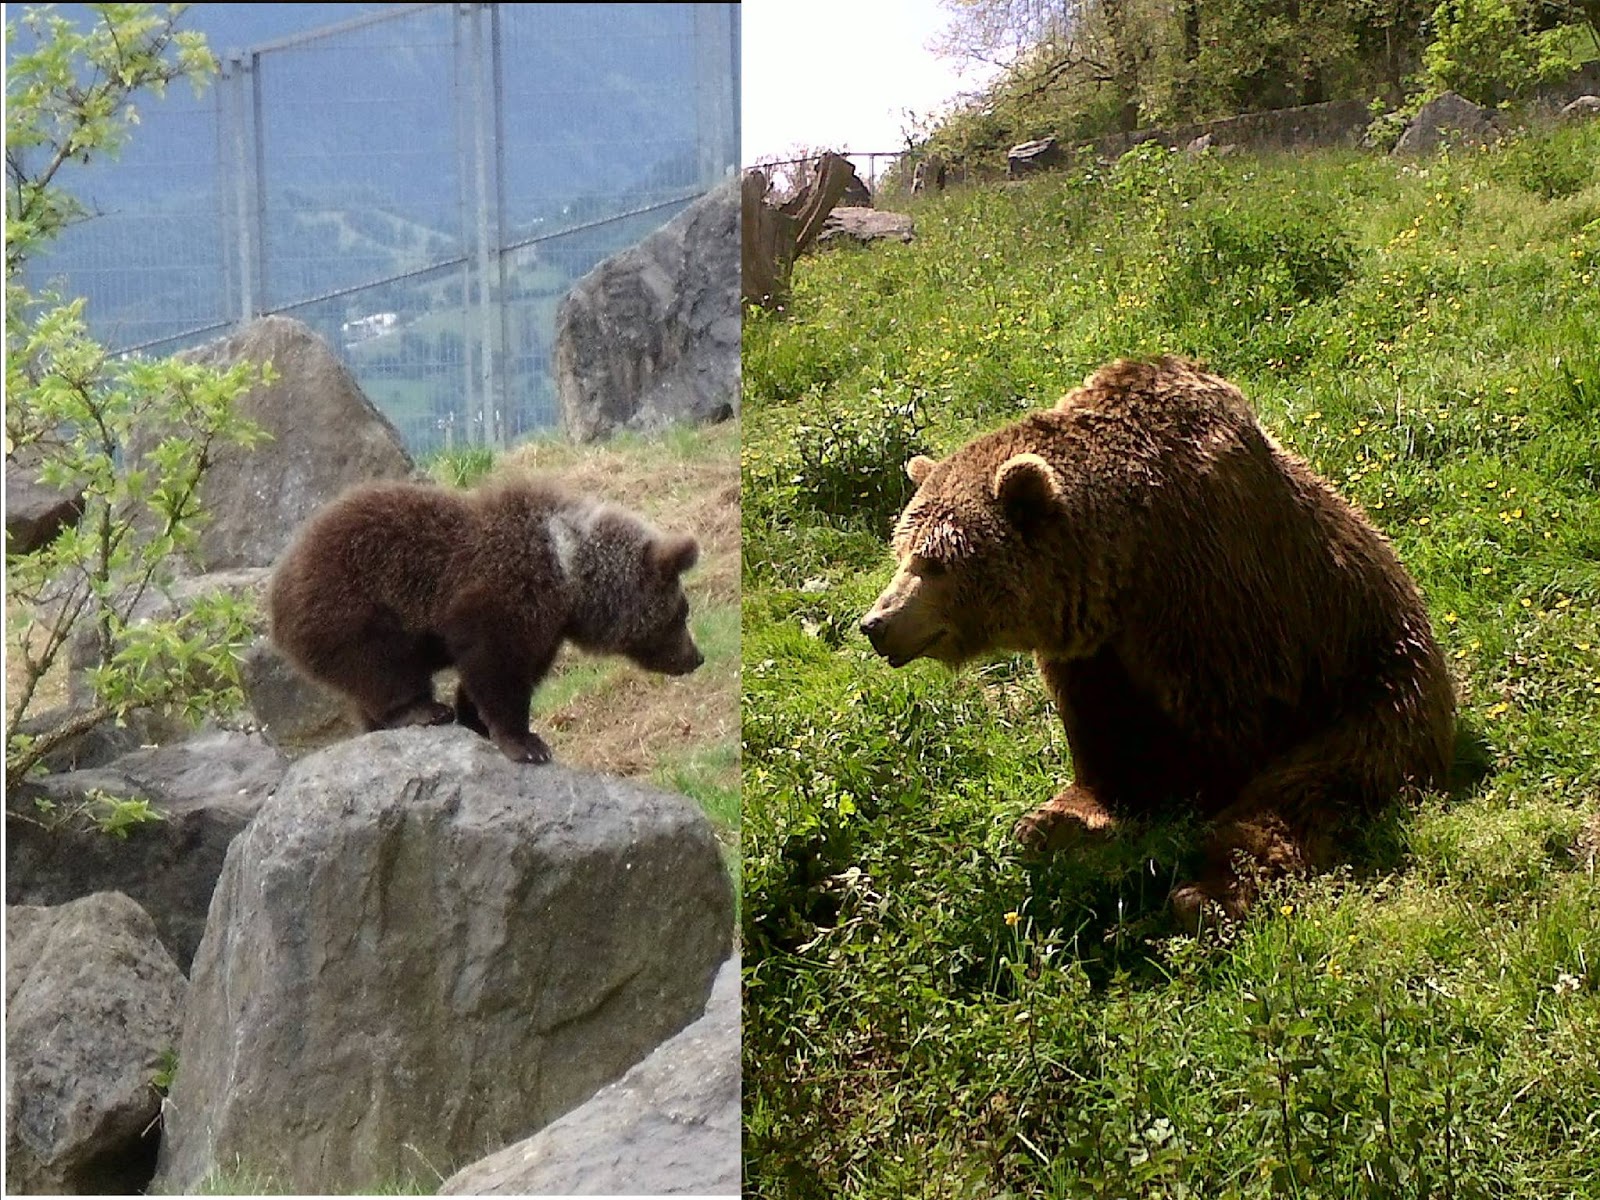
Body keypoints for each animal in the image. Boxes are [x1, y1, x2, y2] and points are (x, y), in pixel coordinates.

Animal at [268, 475, 703, 764]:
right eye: (681, 613)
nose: (696, 657)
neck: (569, 574)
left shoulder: (544, 630)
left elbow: (508, 672)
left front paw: (475, 719)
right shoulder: (506, 600)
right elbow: (496, 669)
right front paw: (527, 744)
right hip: (353, 607)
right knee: (385, 668)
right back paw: (422, 710)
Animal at [859, 356, 1455, 926]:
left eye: (936, 562)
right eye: (902, 549)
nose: (876, 622)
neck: (1129, 566)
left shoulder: (1221, 604)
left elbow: (1231, 743)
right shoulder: (1096, 652)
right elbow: (1106, 735)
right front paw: (1060, 817)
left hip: (1376, 687)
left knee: (1303, 789)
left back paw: (1206, 893)